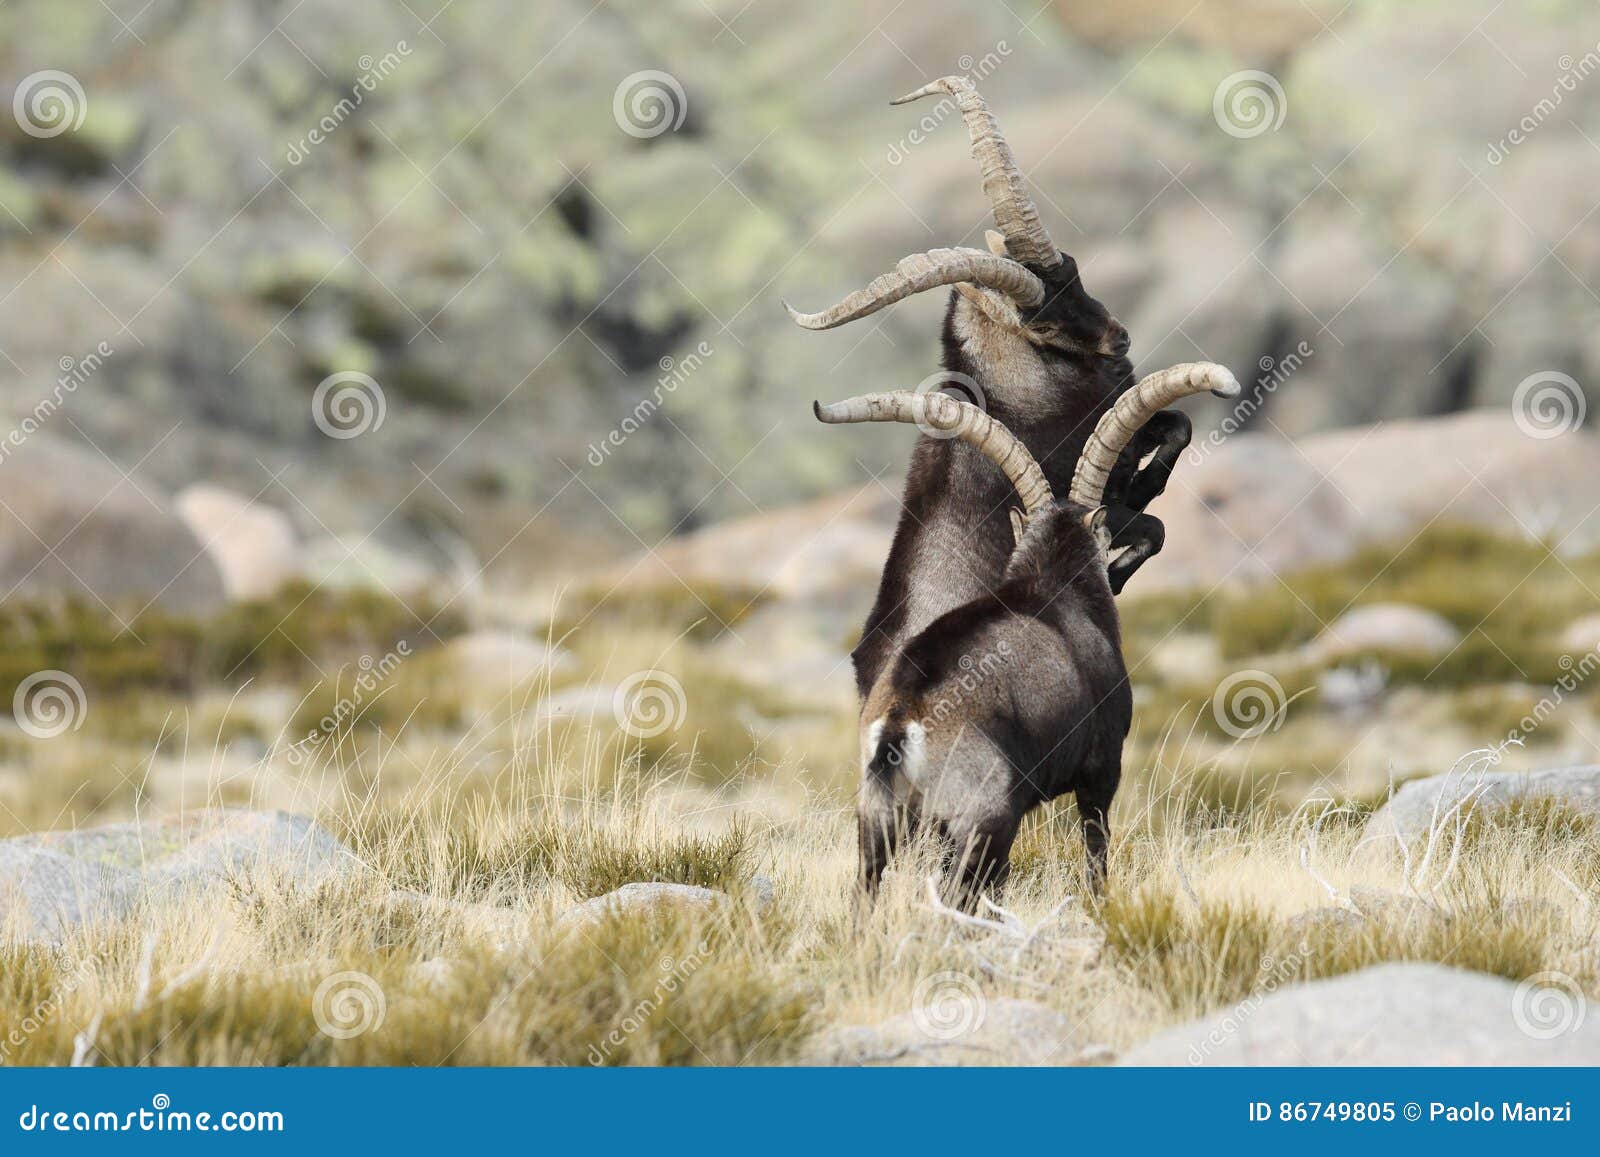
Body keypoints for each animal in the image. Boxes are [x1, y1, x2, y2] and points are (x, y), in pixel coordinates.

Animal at [787, 77, 1198, 700]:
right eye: (1043, 324)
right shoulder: (1079, 499)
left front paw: (1150, 485)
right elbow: (1154, 527)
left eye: (1073, 270)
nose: (1119, 338)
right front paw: (1117, 572)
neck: (1017, 399)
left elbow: (1179, 427)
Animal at [814, 363, 1240, 909]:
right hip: (983, 819)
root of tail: (899, 725)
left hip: (877, 822)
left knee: (865, 892)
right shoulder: (1102, 767)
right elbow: (1096, 851)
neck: (1052, 582)